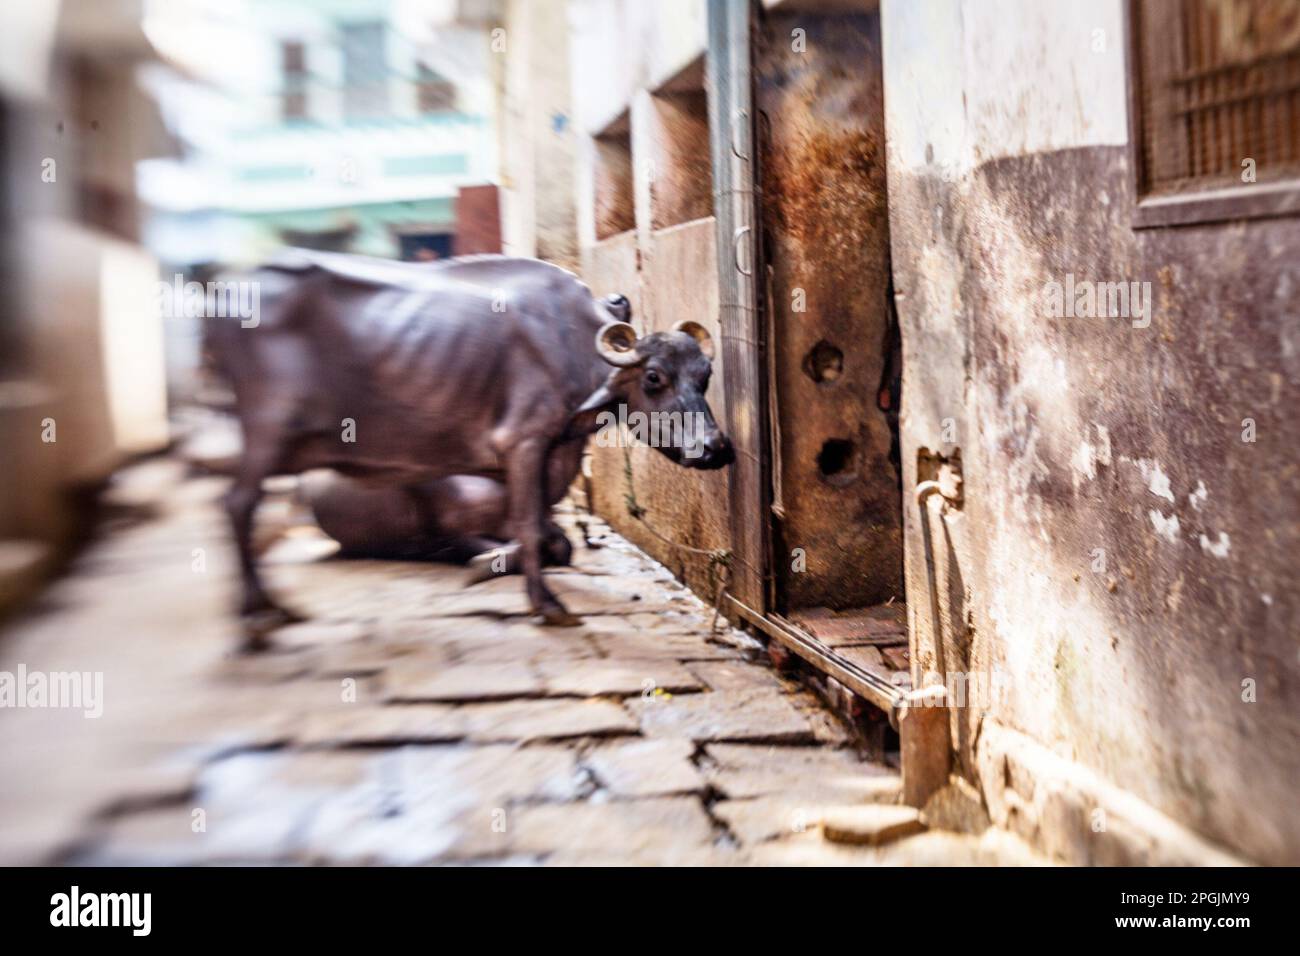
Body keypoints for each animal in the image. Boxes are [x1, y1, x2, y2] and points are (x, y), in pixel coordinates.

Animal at [206, 250, 733, 648]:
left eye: (705, 375)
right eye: (653, 377)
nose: (715, 448)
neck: (566, 342)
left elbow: (545, 533)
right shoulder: (523, 443)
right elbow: (529, 527)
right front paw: (545, 604)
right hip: (268, 428)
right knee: (238, 502)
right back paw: (258, 616)